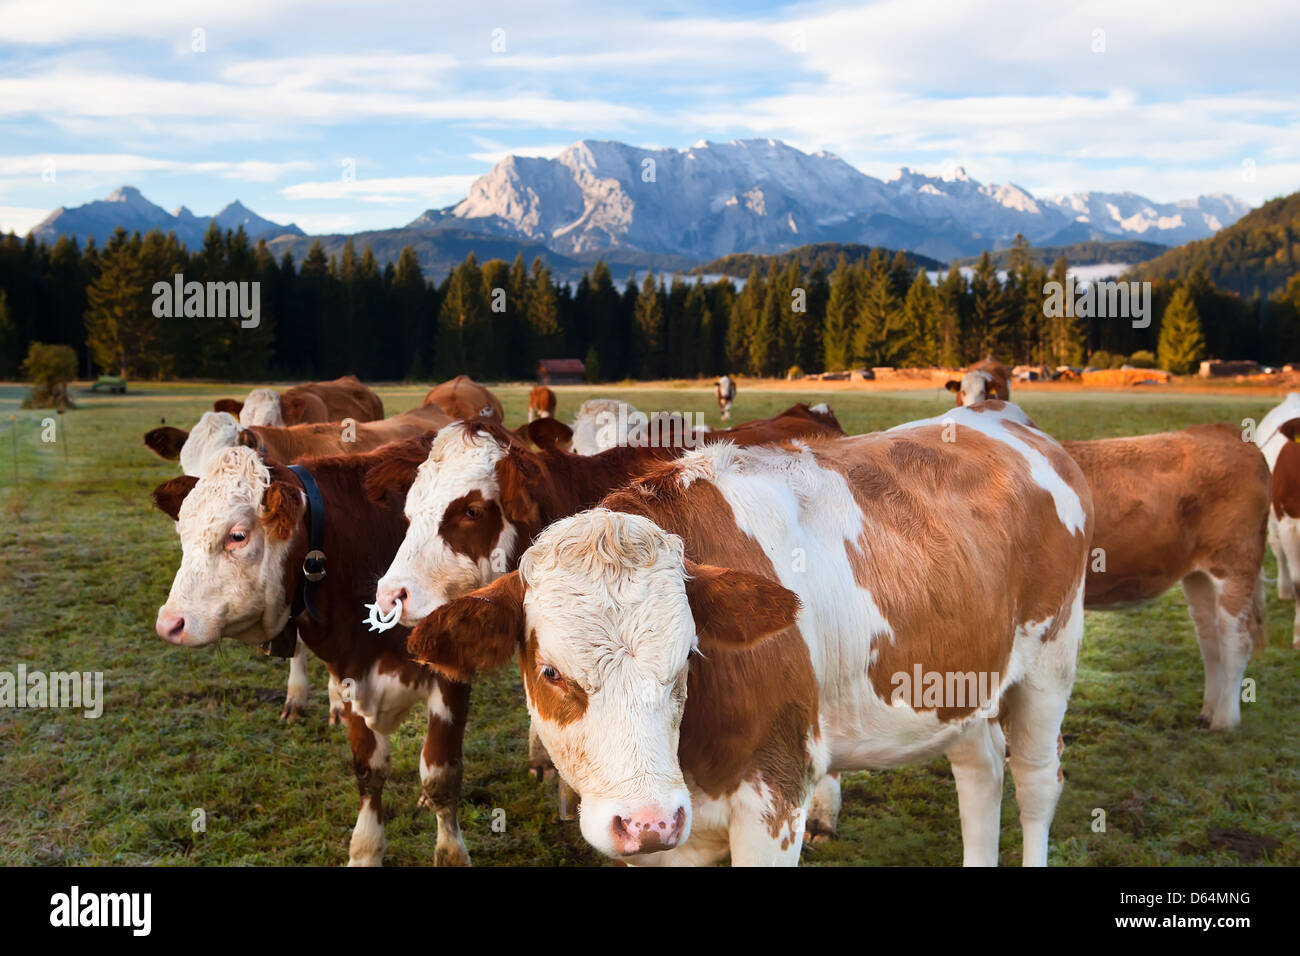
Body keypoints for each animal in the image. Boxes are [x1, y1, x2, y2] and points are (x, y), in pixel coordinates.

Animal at [150, 437, 470, 867]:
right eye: (183, 531)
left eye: (237, 536)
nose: (170, 623)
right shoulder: (353, 673)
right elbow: (368, 770)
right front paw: (365, 851)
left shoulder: (451, 676)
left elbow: (441, 776)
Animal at [406, 401, 1094, 866]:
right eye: (550, 671)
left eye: (687, 659)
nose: (649, 821)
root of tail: (1002, 420)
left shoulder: (775, 800)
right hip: (963, 686)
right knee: (980, 772)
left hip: (1049, 667)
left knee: (1036, 782)